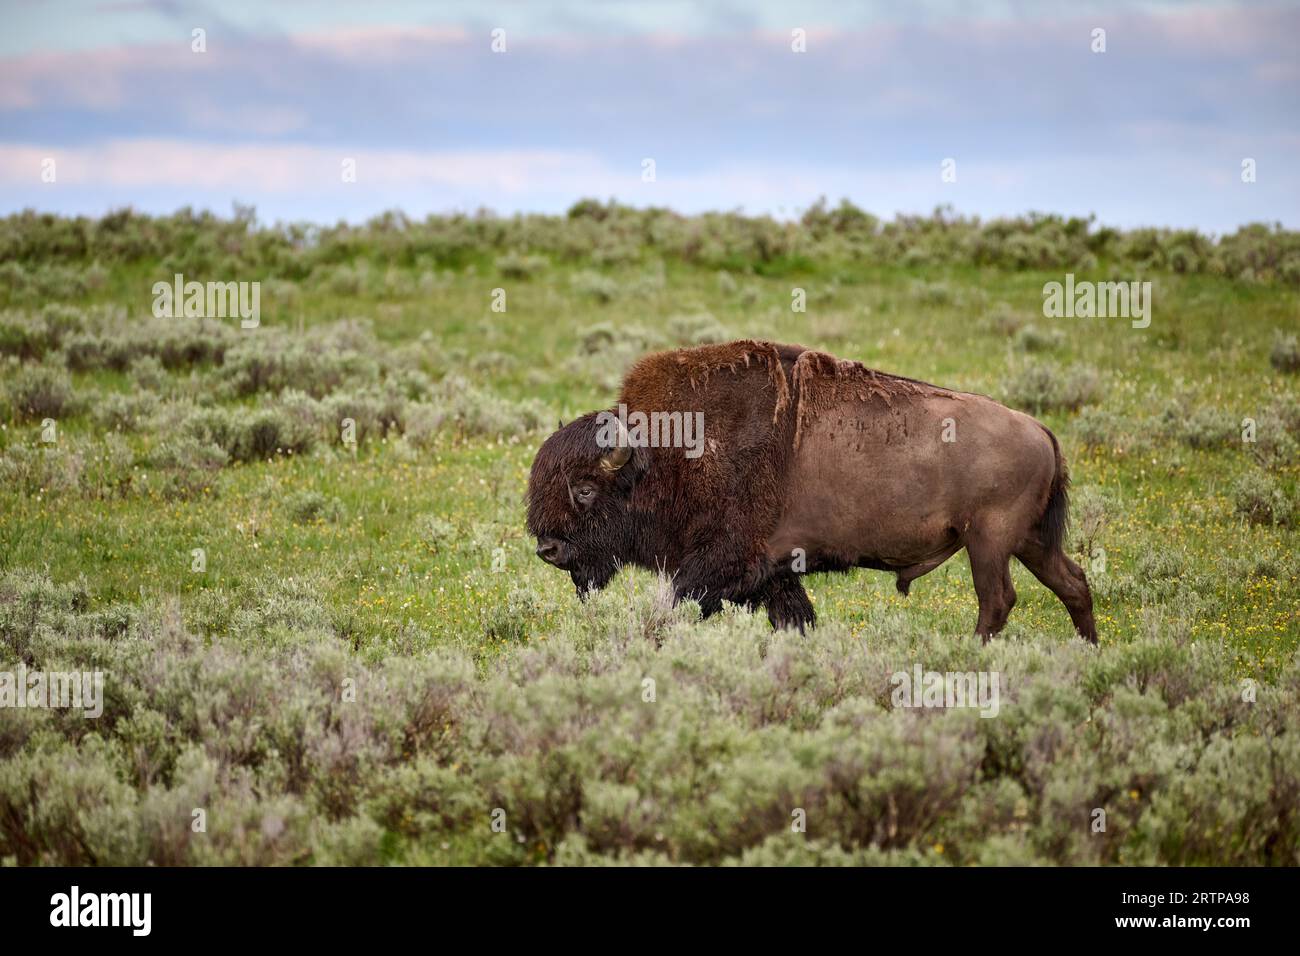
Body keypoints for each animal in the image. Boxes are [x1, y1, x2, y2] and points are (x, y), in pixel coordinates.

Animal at [526, 340, 1097, 643]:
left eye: (584, 489)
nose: (548, 549)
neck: (663, 455)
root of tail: (1040, 430)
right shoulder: (773, 572)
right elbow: (794, 617)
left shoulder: (720, 564)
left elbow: (677, 603)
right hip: (1029, 542)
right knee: (1073, 583)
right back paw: (1087, 650)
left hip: (990, 542)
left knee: (997, 599)